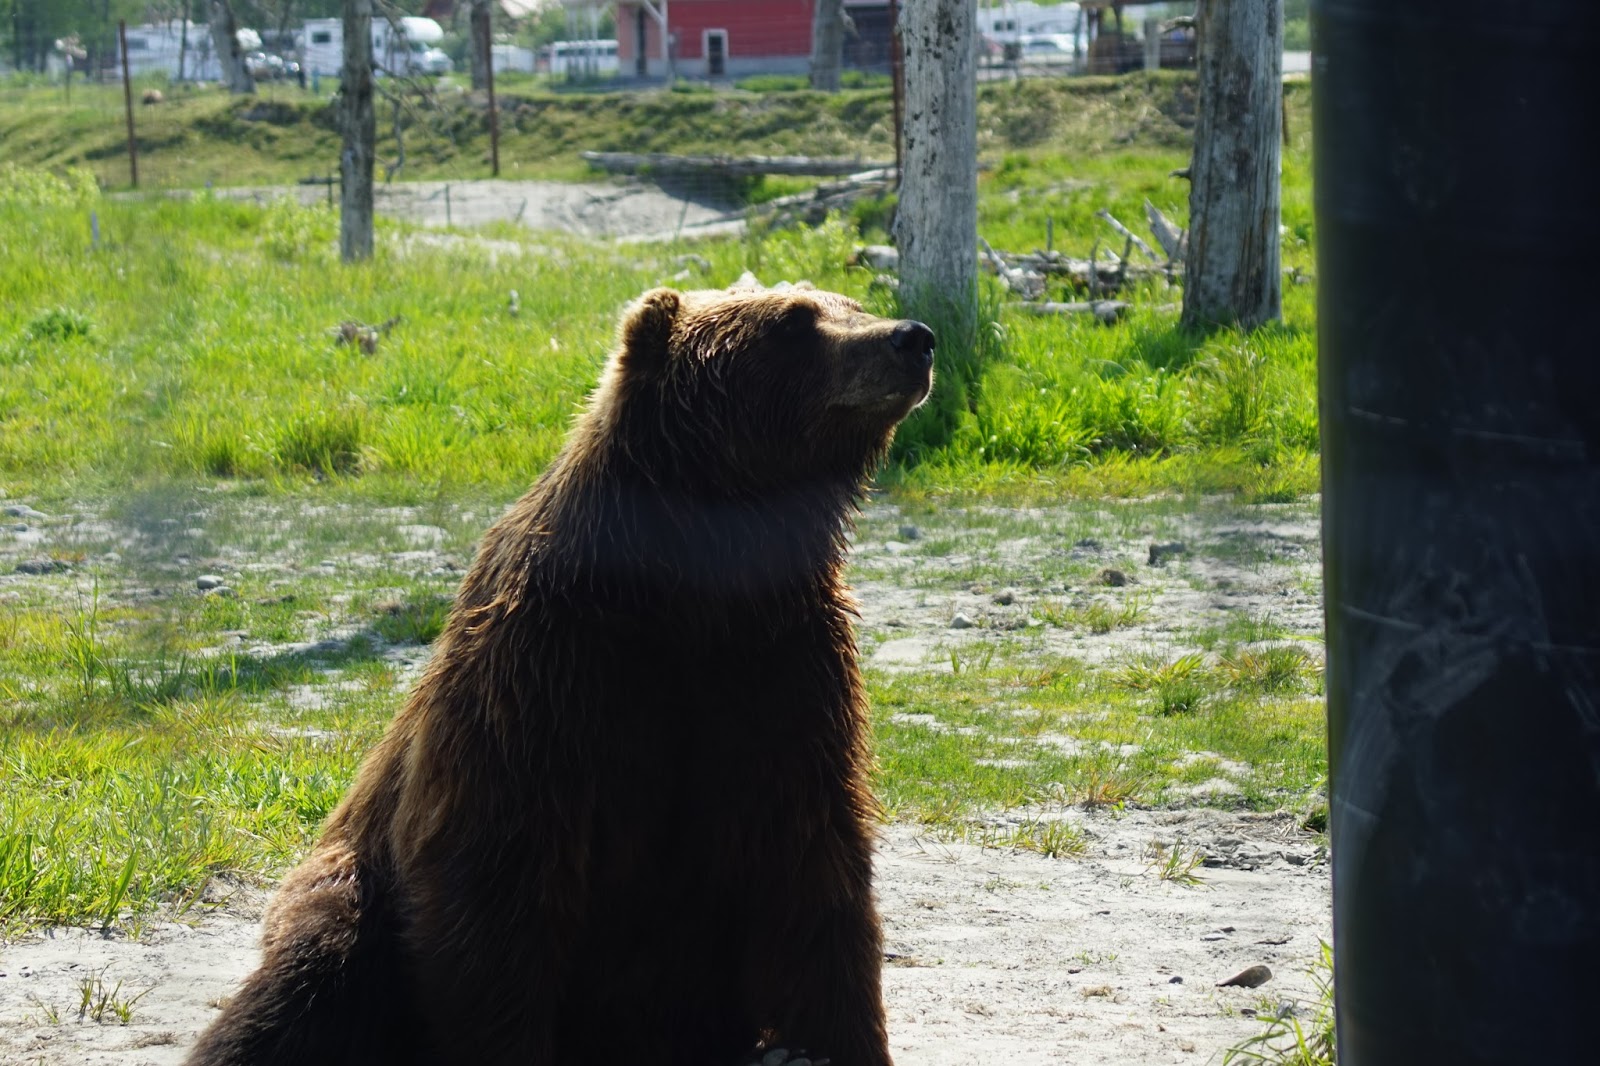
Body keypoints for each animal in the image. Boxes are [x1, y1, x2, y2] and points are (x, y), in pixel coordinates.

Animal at [185, 284, 936, 1066]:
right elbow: (498, 873)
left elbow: (809, 859)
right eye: (794, 322)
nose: (912, 338)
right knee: (309, 976)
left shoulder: (780, 667)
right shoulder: (549, 671)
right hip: (348, 887)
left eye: (851, 304)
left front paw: (826, 1043)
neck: (698, 580)